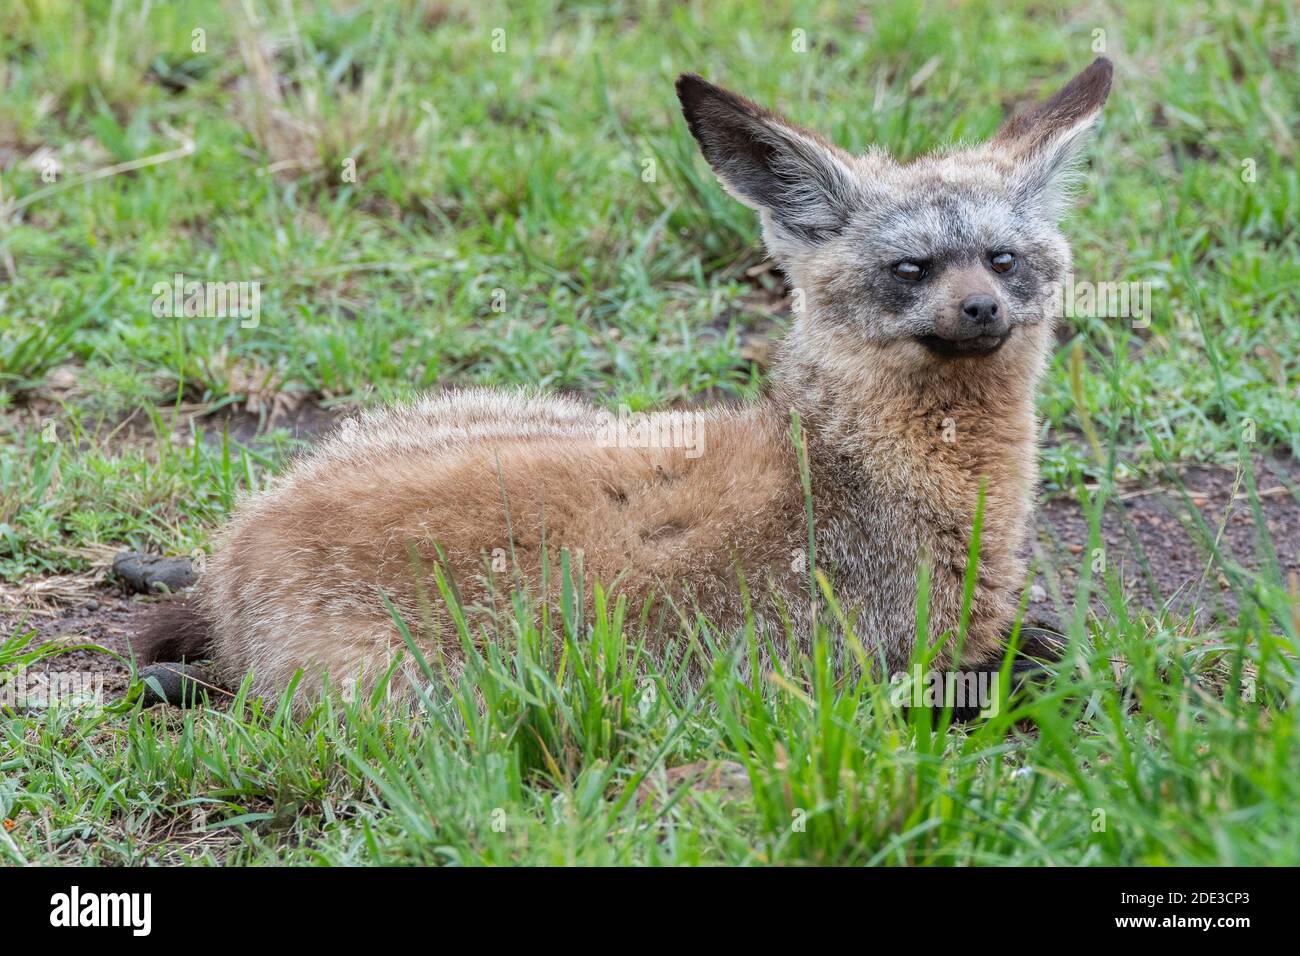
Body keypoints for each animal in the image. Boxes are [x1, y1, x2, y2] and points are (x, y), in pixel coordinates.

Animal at [133, 58, 1113, 708]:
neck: (849, 466)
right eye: (911, 269)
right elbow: (1024, 662)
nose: (982, 309)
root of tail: (237, 570)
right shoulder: (880, 671)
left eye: (1003, 259)